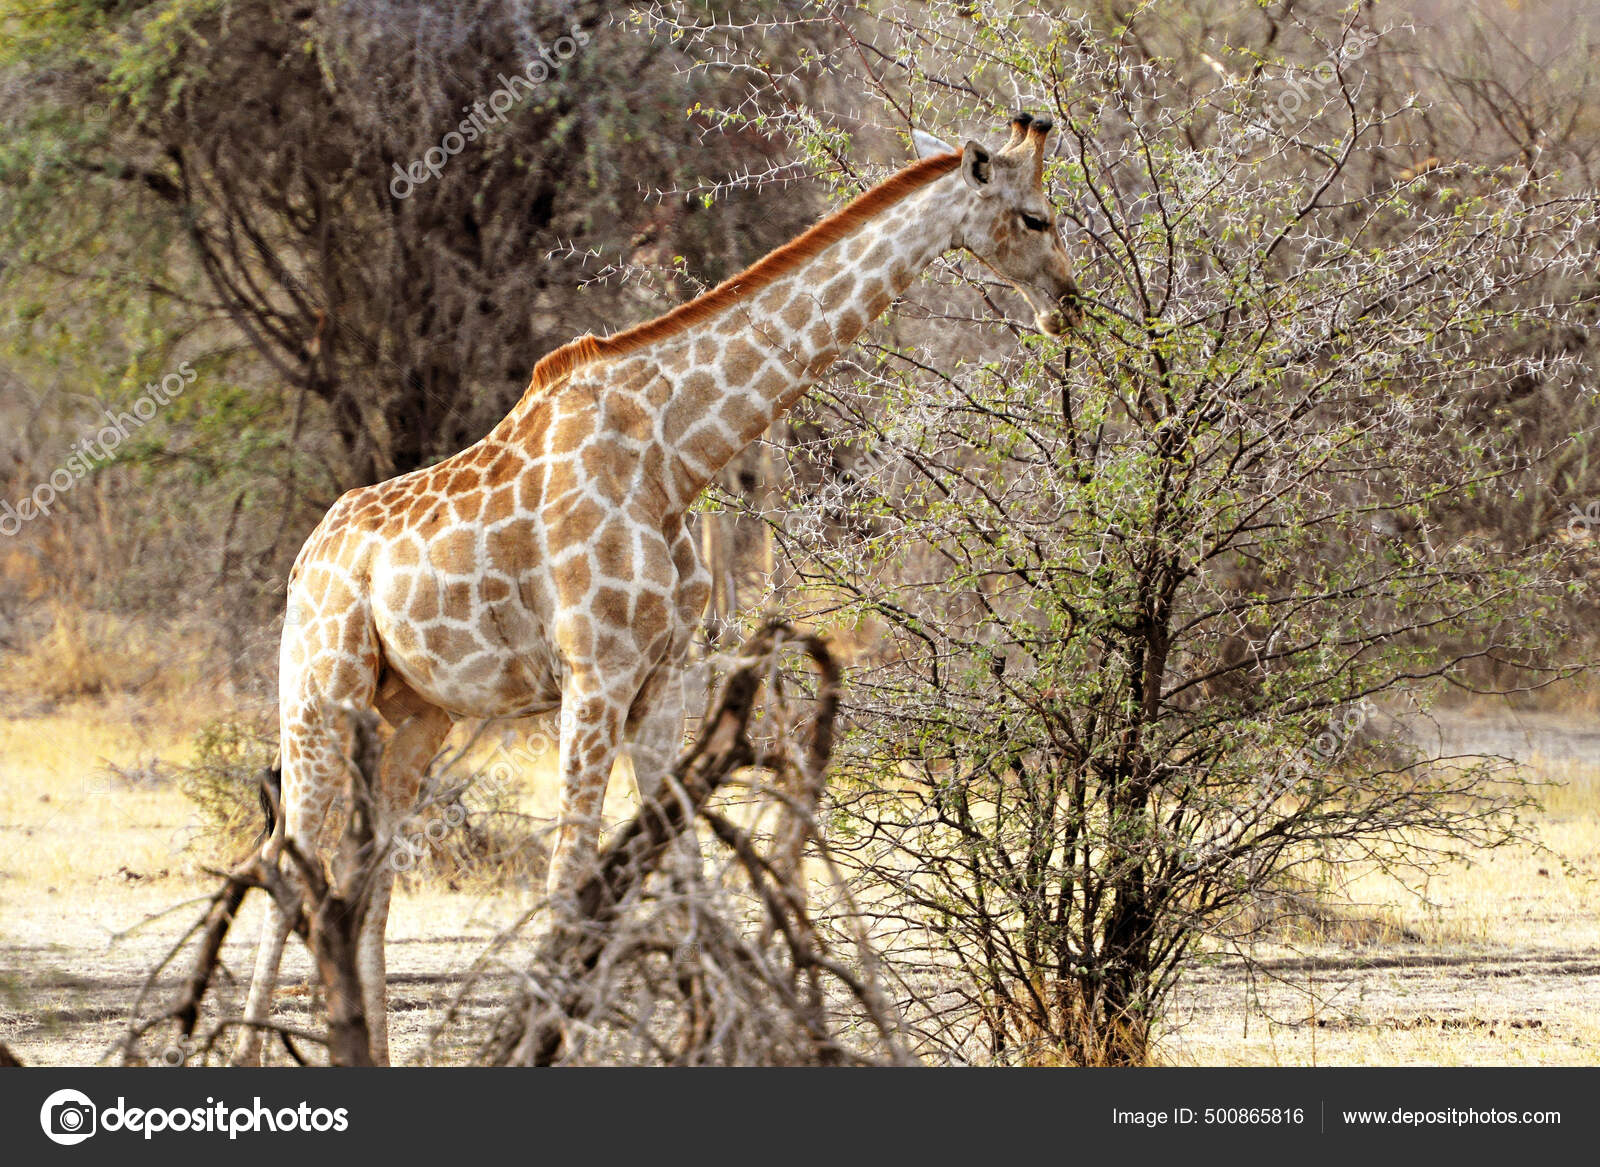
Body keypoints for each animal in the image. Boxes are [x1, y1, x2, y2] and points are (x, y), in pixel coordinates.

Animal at [234, 113, 1080, 1064]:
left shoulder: (664, 684)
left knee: (364, 879)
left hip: (417, 713)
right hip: (319, 691)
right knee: (287, 863)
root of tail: (307, 557)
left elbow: (687, 883)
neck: (675, 455)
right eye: (1038, 216)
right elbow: (570, 885)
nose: (1069, 304)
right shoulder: (593, 677)